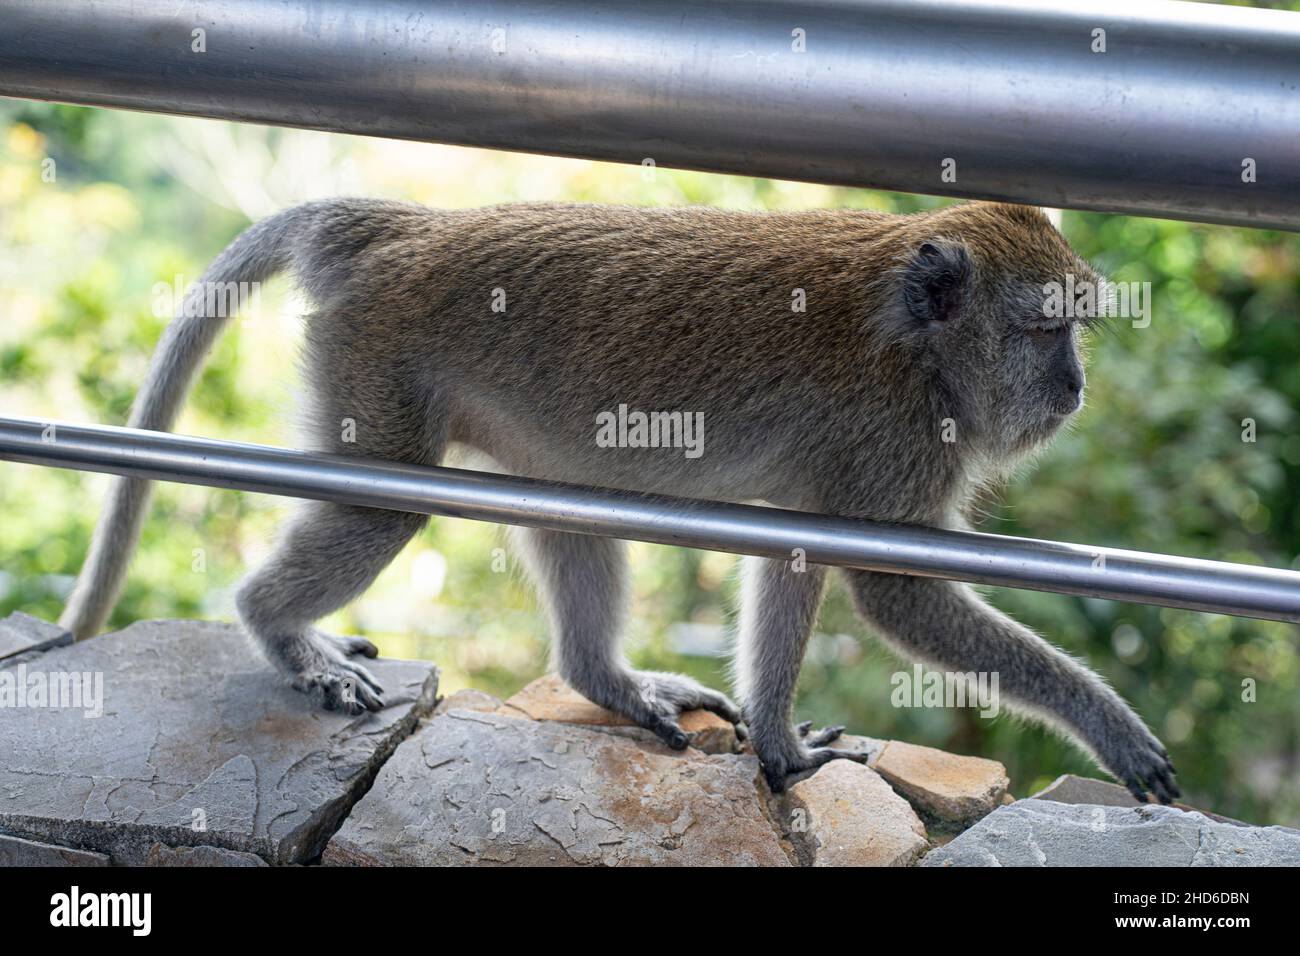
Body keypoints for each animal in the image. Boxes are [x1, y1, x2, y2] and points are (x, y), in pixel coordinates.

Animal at [59, 198, 1179, 803]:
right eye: (1046, 330)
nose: (1075, 387)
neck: (919, 344)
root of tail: (402, 228)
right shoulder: (895, 442)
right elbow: (893, 593)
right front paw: (1109, 722)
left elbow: (795, 558)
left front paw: (777, 744)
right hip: (375, 357)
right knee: (381, 511)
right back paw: (282, 633)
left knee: (575, 502)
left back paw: (605, 681)